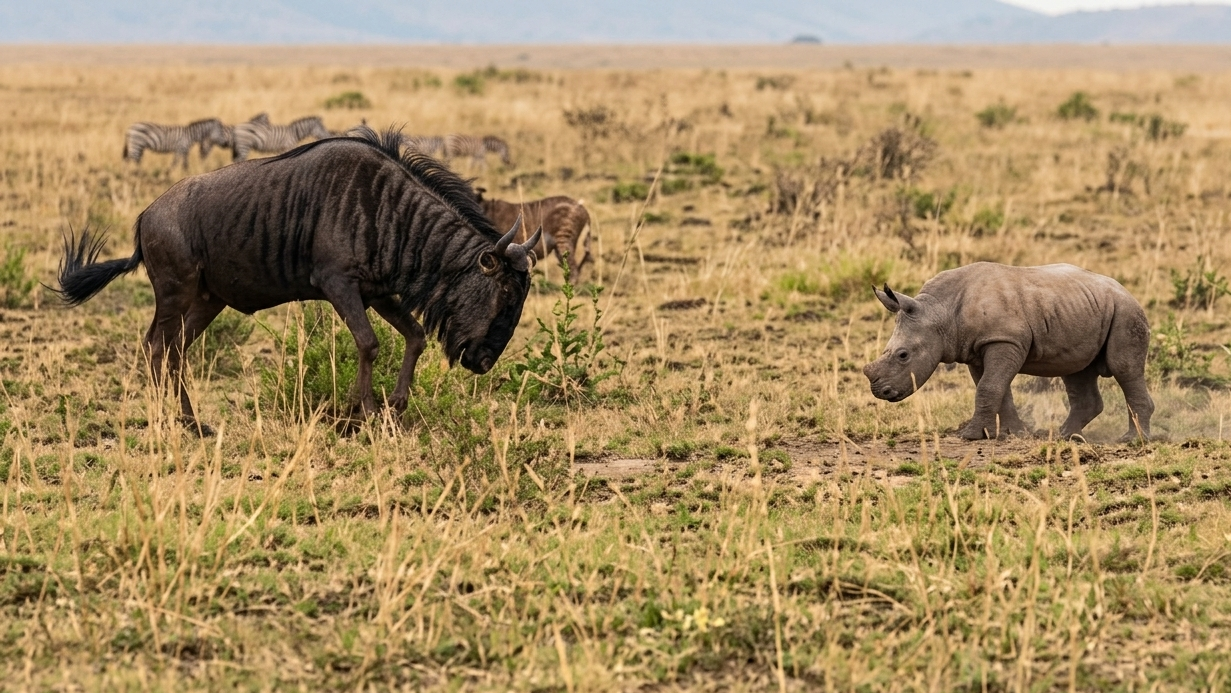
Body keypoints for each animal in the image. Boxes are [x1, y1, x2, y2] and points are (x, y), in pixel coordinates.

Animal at [862, 262, 1154, 441]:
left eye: (903, 355)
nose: (880, 392)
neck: (940, 311)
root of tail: (1126, 290)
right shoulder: (977, 348)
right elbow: (996, 389)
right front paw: (1014, 433)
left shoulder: (1004, 340)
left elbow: (989, 386)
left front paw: (970, 436)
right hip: (1082, 308)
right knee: (1076, 371)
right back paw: (1063, 437)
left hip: (1125, 310)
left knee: (1123, 367)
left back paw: (1133, 440)